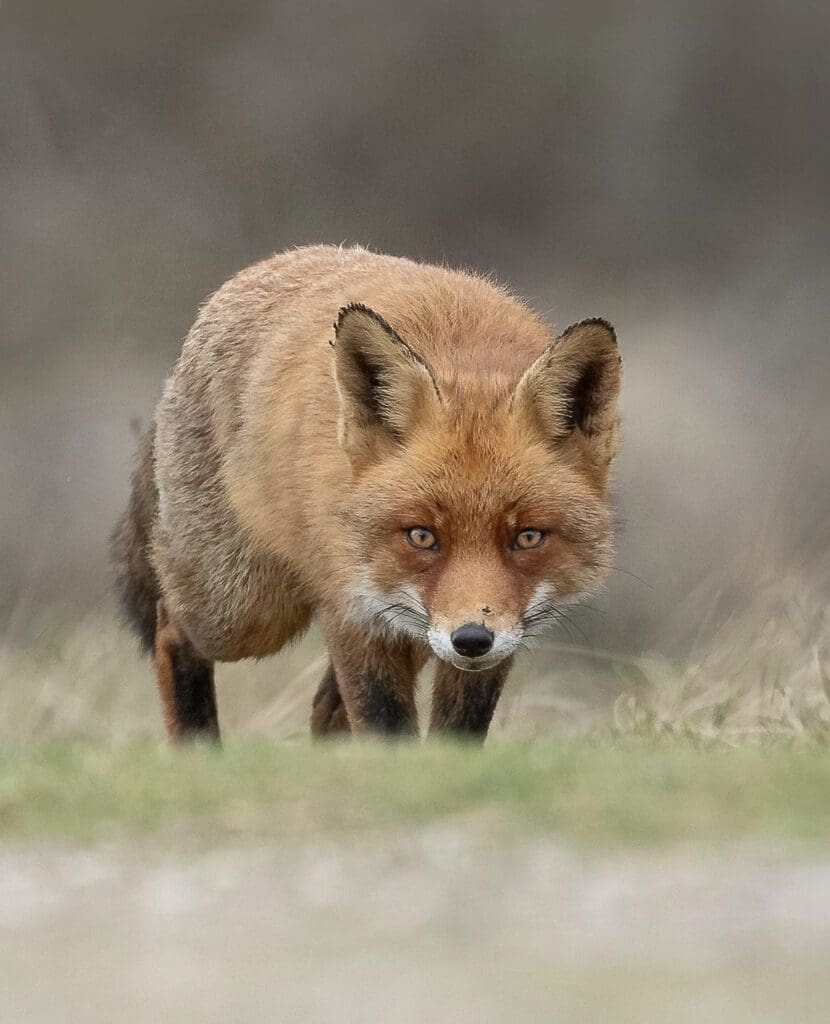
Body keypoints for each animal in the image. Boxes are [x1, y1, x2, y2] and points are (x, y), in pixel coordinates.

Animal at [110, 244, 621, 743]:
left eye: (528, 538)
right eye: (421, 536)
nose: (473, 639)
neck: (468, 362)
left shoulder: (495, 632)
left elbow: (458, 730)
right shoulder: (354, 609)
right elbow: (383, 721)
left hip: (410, 627)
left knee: (325, 709)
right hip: (244, 608)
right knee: (172, 630)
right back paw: (198, 749)